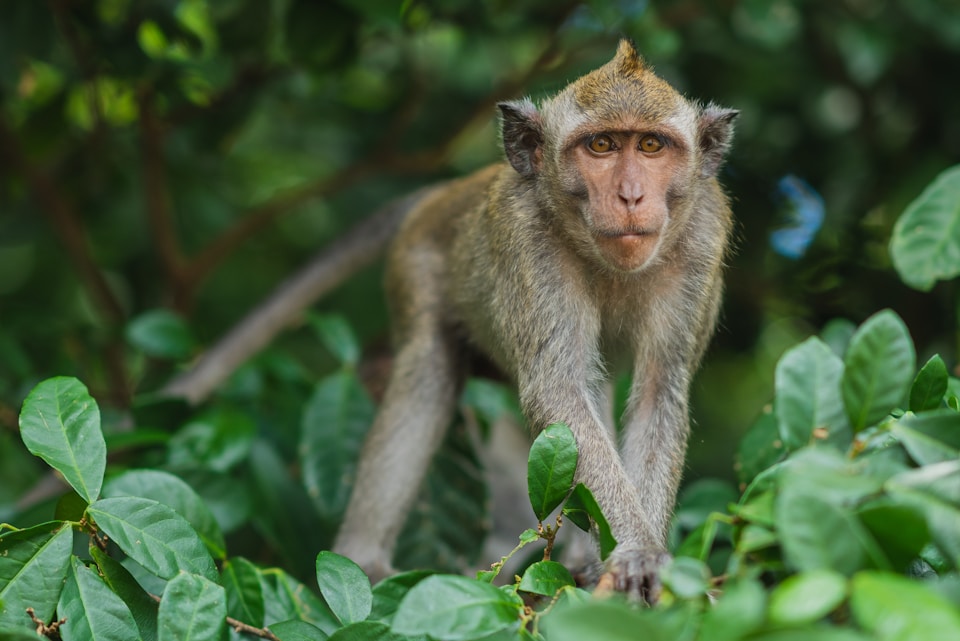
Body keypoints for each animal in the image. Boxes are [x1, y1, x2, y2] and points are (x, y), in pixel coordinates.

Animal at [327, 39, 738, 602]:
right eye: (602, 145)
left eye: (652, 145)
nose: (631, 196)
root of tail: (448, 192)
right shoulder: (528, 241)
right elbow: (558, 389)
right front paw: (638, 551)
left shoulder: (701, 237)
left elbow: (658, 391)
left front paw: (645, 561)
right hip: (416, 265)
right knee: (428, 371)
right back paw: (364, 562)